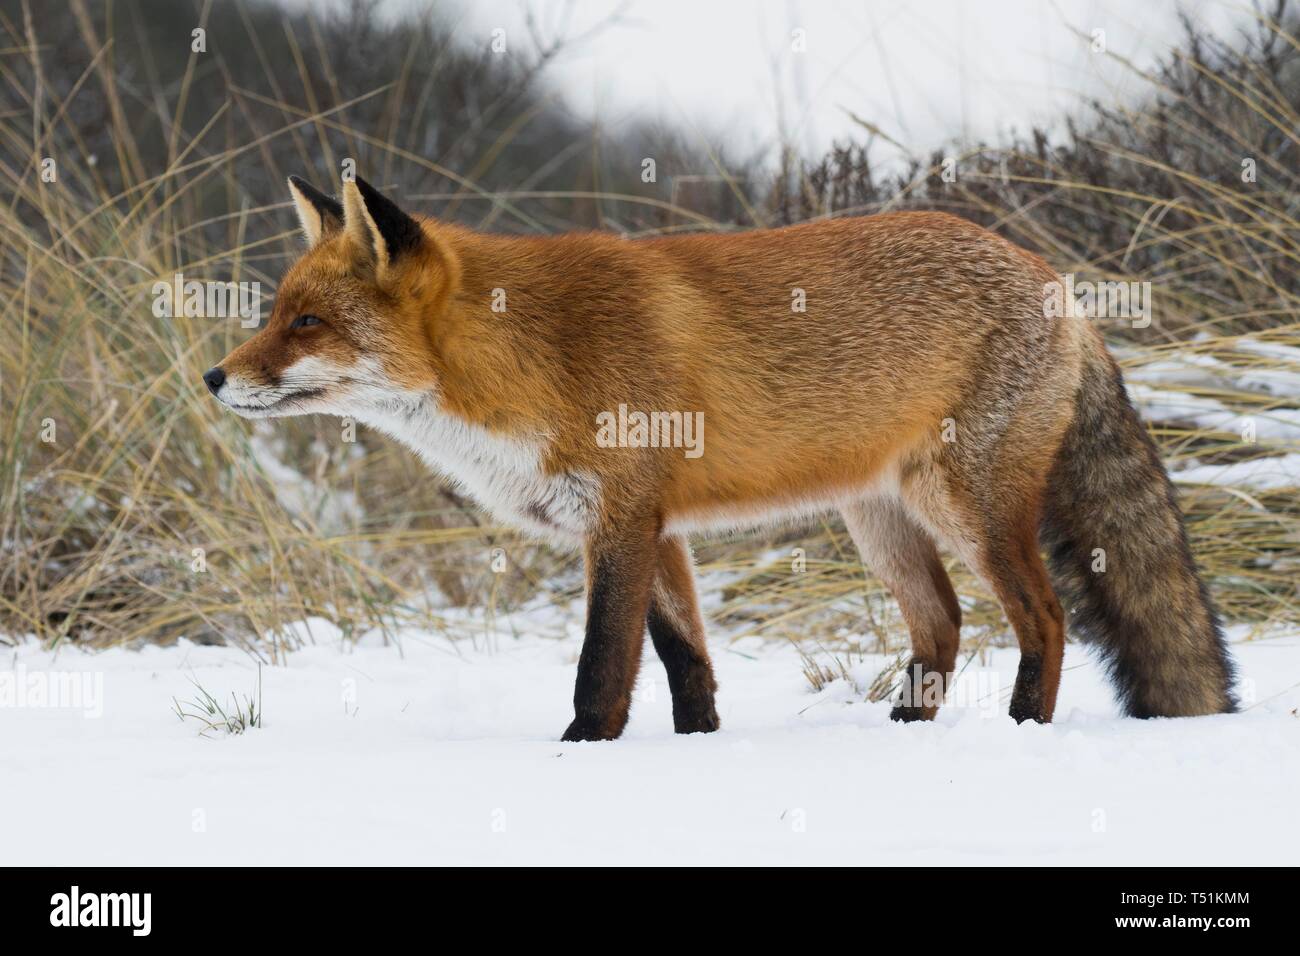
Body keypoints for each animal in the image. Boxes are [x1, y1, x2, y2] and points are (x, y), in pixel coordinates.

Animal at [204, 174, 1237, 741]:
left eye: (307, 324)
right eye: (275, 312)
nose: (214, 377)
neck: (524, 360)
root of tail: (1061, 287)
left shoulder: (621, 522)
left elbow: (601, 664)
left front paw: (578, 751)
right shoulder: (653, 527)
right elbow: (684, 662)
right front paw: (698, 750)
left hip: (970, 507)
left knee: (1046, 619)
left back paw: (1023, 731)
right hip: (880, 520)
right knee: (943, 625)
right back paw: (907, 730)